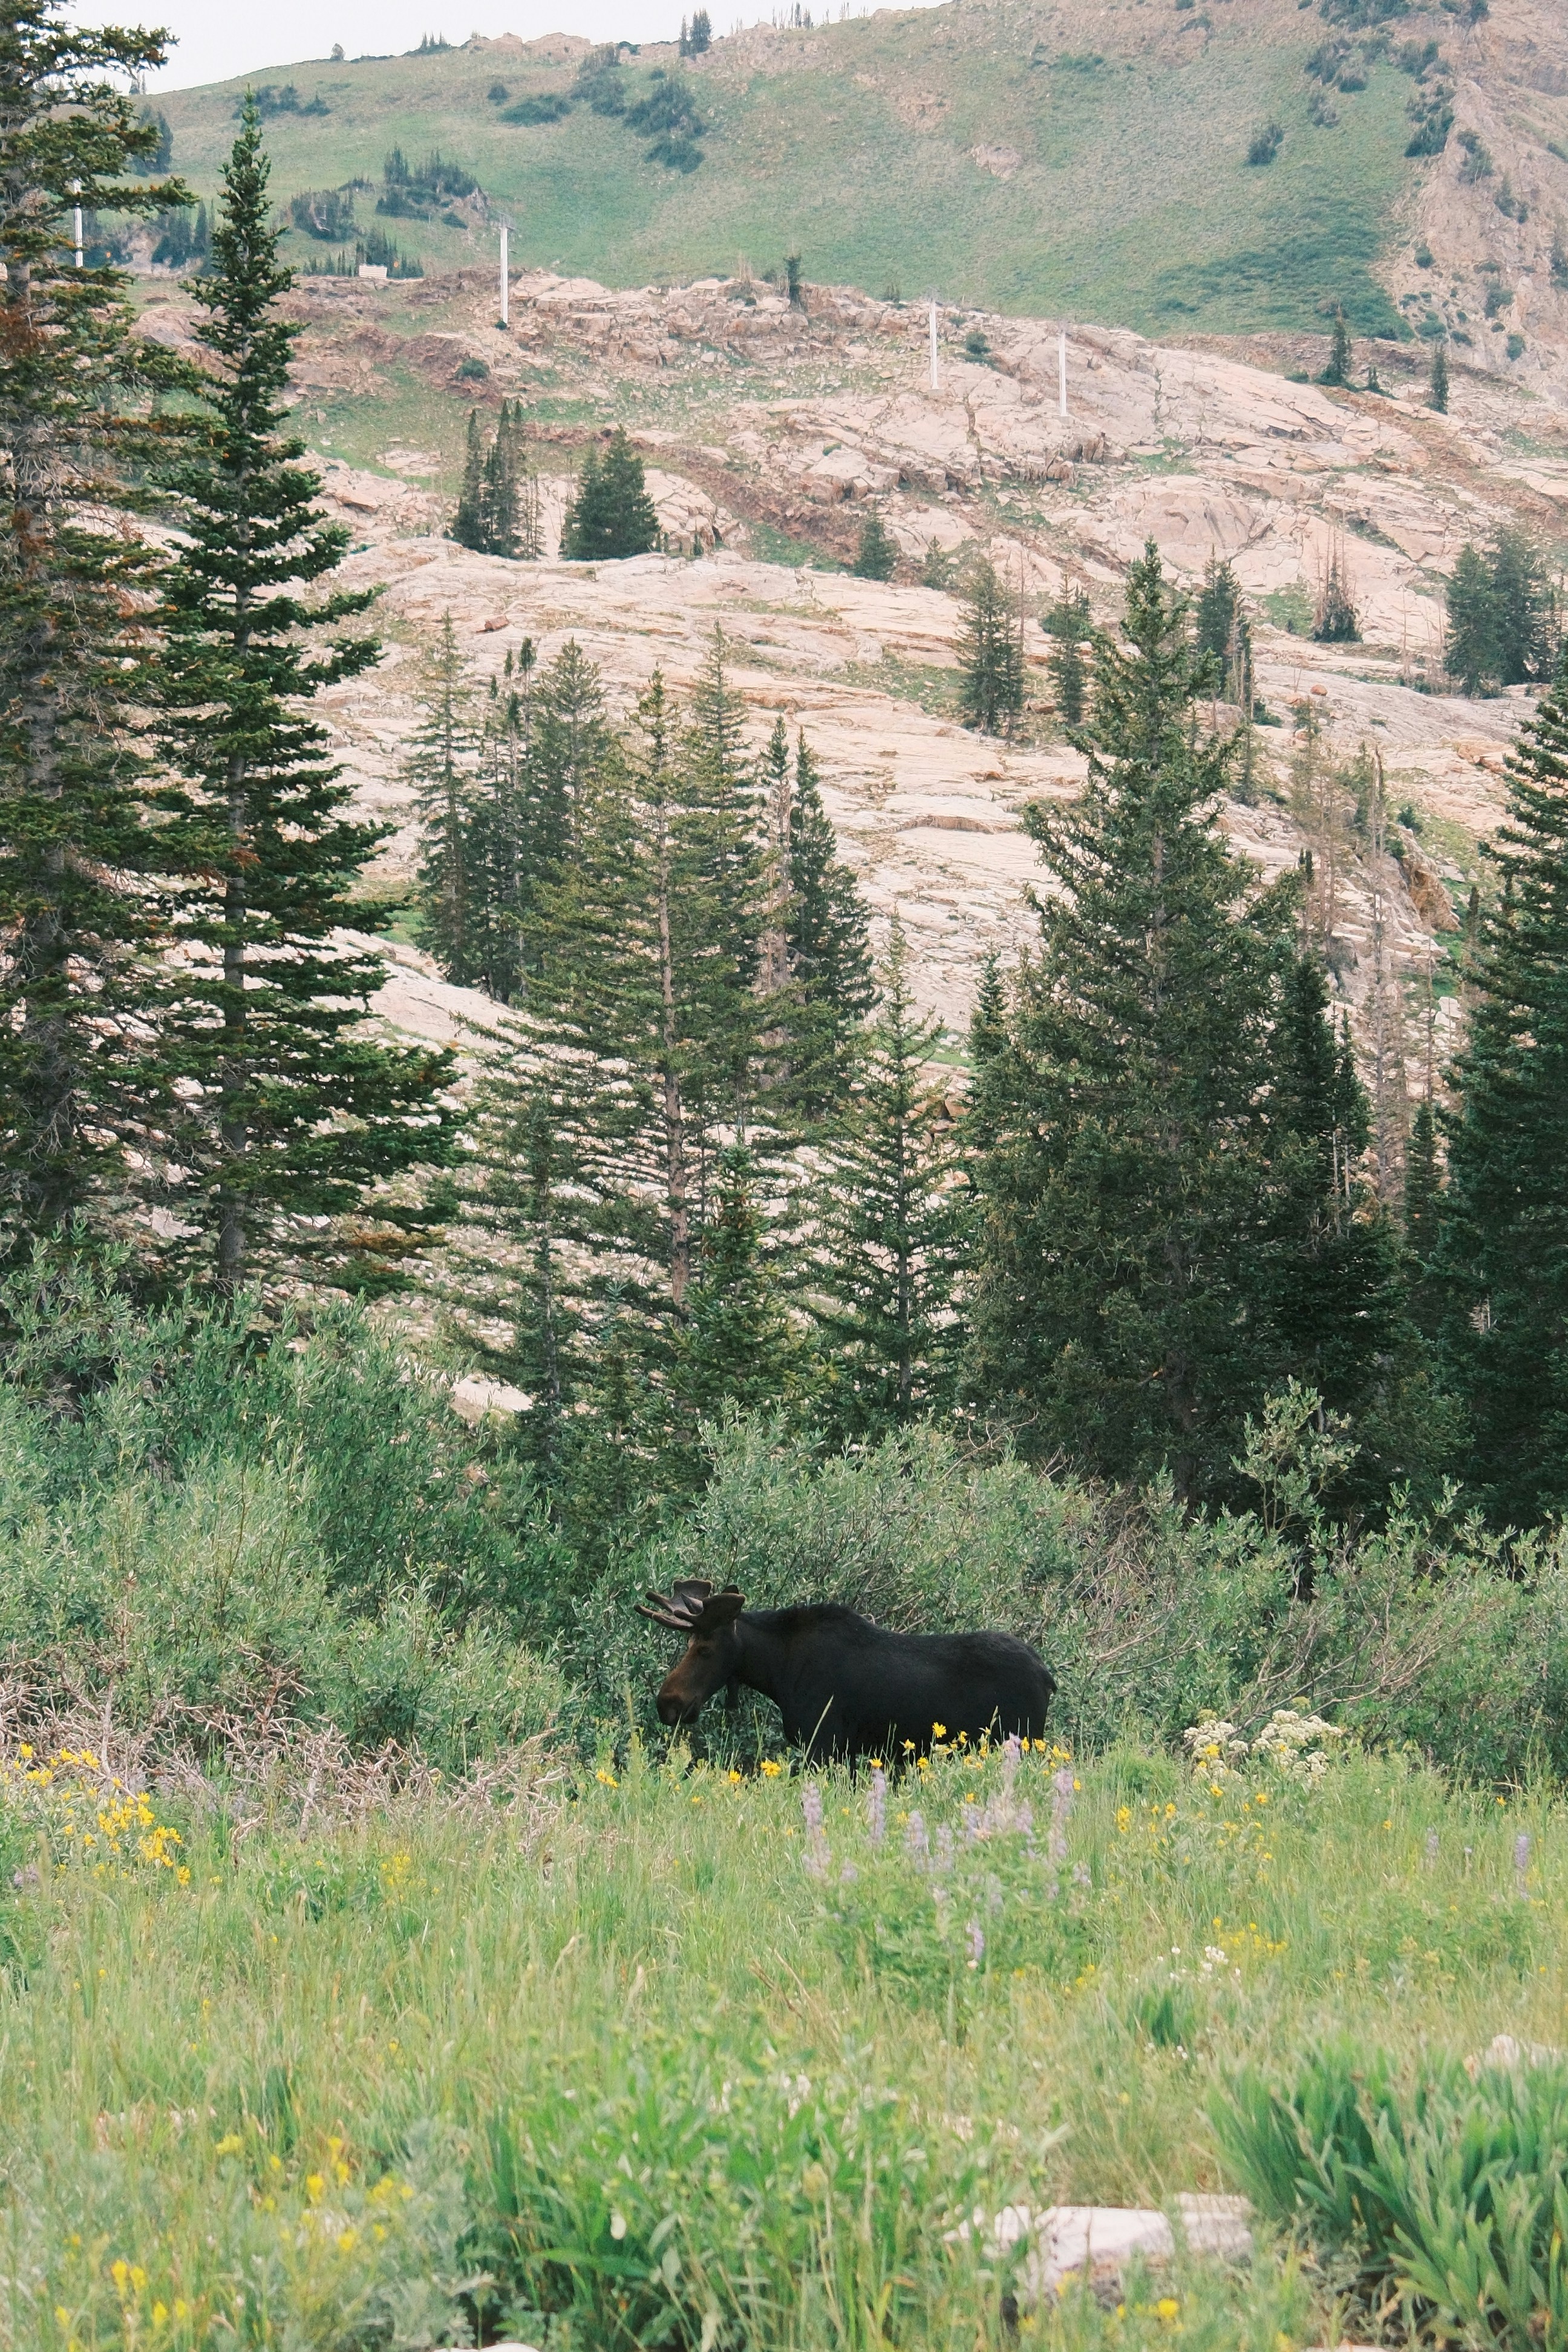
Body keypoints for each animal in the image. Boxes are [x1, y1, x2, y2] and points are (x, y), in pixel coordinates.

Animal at [636, 1578, 1054, 1763]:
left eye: (705, 1649)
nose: (667, 1703)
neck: (778, 1673)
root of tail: (1048, 1677)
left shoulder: (824, 1744)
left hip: (1021, 1741)